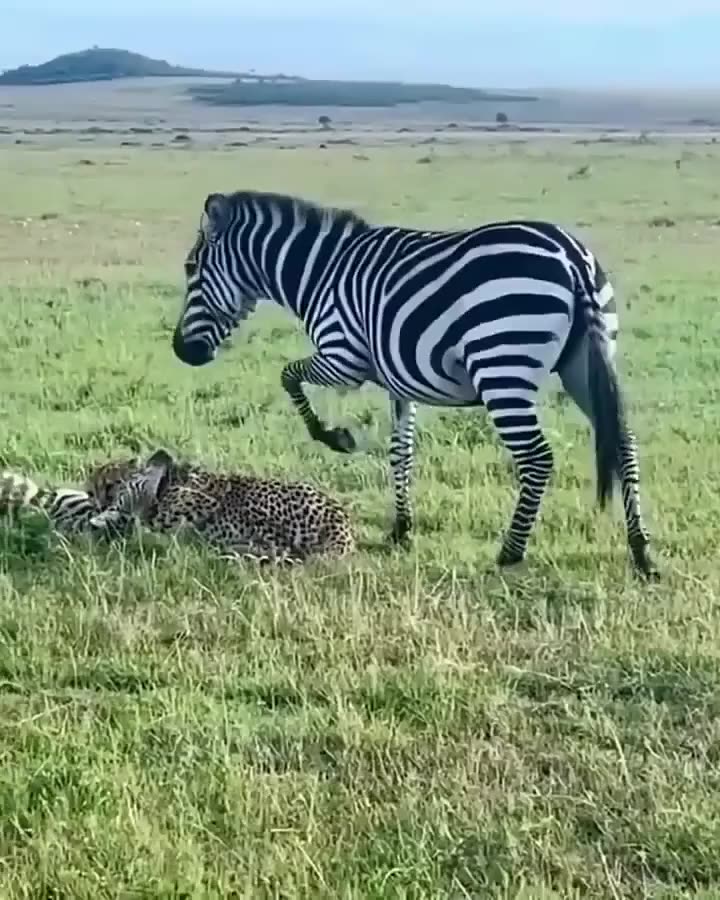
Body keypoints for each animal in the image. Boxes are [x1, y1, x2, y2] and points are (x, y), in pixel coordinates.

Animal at [171, 190, 657, 578]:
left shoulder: (343, 356)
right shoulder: (399, 383)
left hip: (502, 367)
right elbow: (400, 451)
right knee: (624, 441)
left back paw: (510, 552)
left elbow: (287, 376)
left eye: (191, 267)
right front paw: (401, 528)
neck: (319, 274)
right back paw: (641, 552)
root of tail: (571, 255)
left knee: (537, 458)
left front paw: (335, 437)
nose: (180, 351)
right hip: (584, 365)